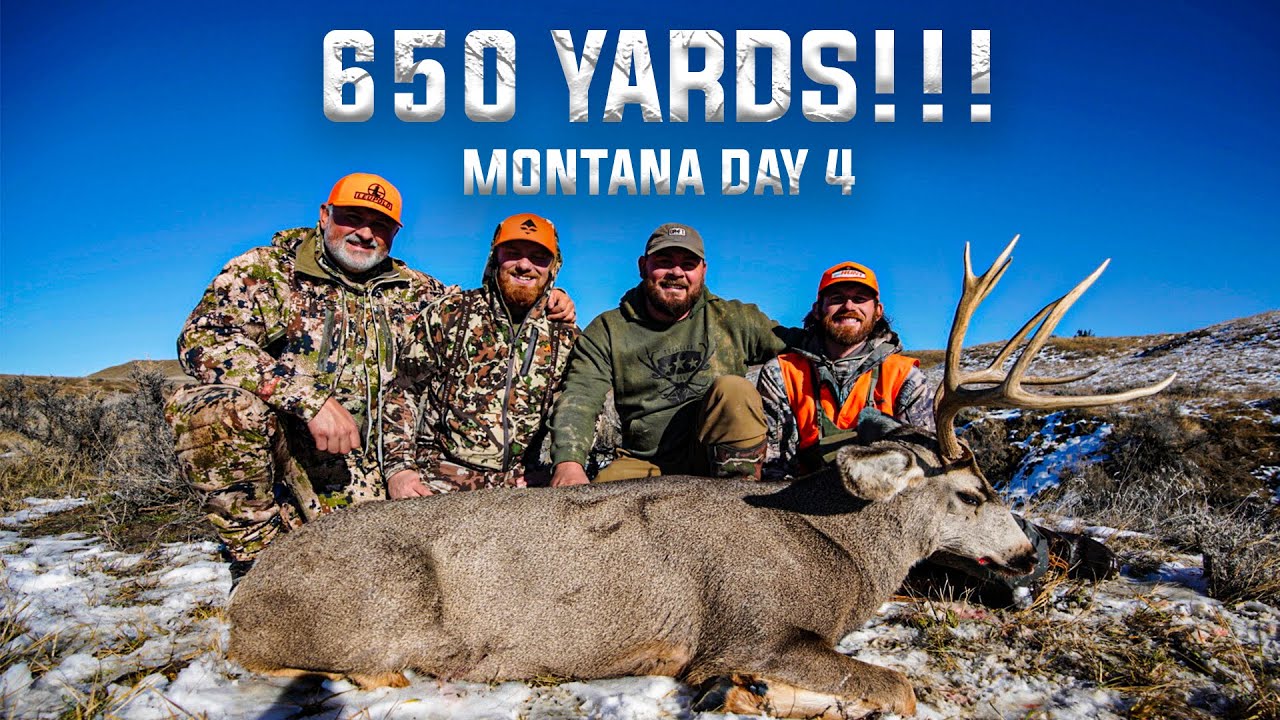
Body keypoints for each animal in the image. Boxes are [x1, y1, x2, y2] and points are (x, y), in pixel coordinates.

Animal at [227, 237, 1174, 719]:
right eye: (973, 495)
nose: (1027, 556)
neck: (837, 551)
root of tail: (250, 589)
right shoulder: (749, 625)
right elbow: (898, 688)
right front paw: (753, 693)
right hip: (358, 610)